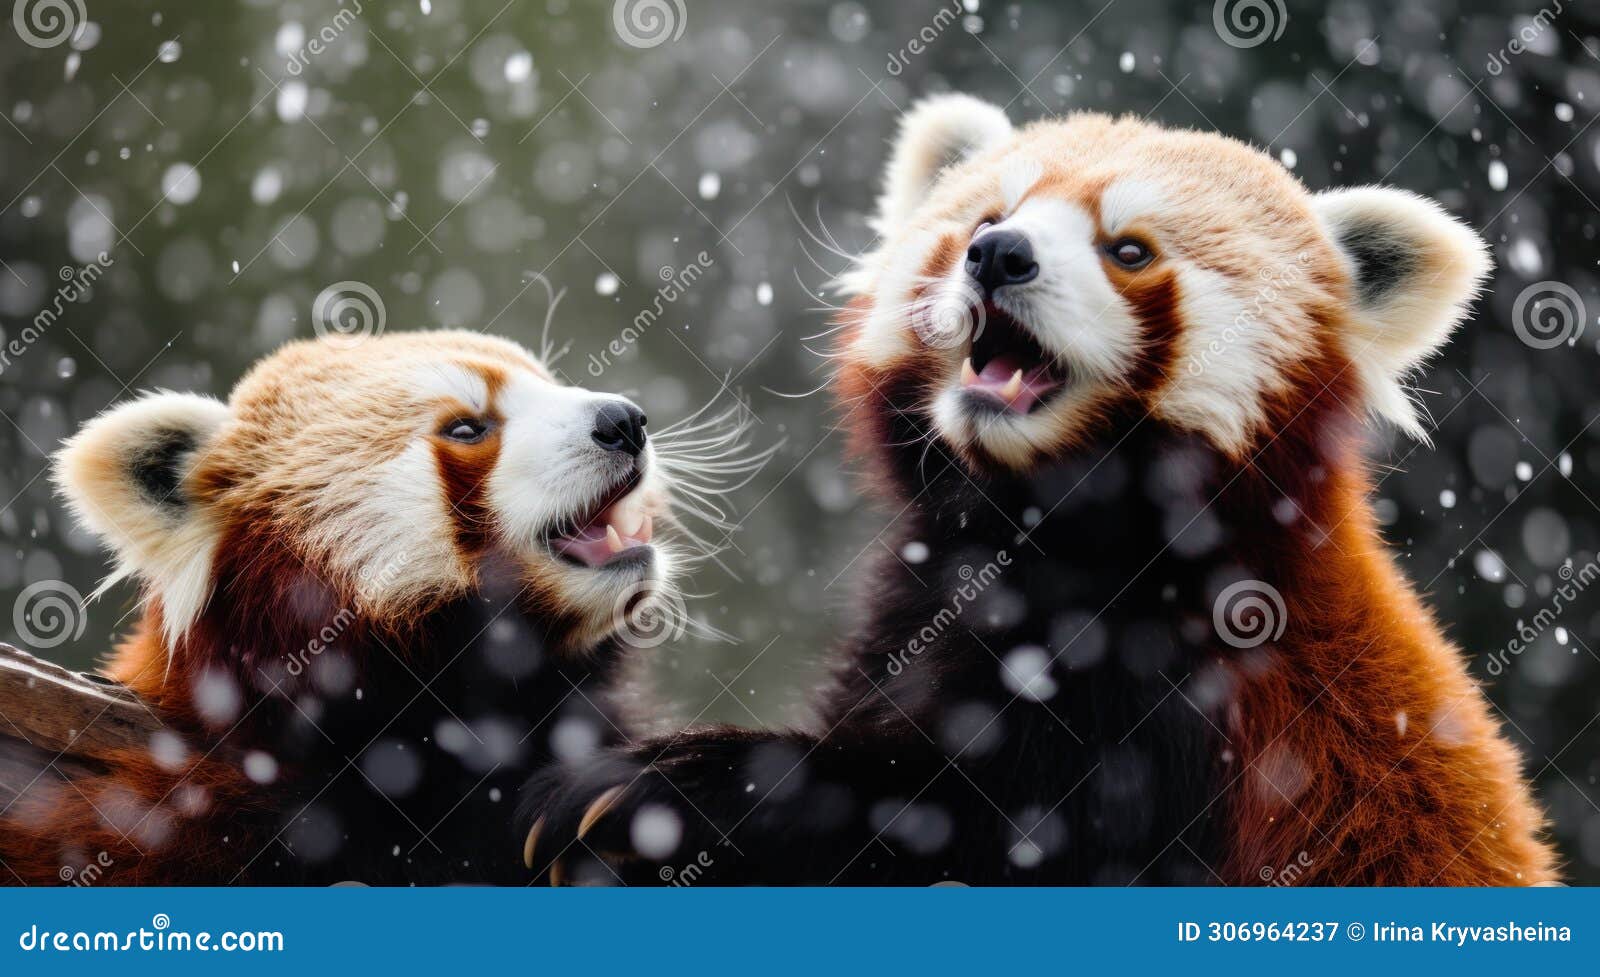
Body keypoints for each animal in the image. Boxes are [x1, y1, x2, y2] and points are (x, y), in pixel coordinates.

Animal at [522, 96, 1558, 886]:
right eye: (986, 221)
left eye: (1128, 250)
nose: (1000, 256)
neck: (1047, 538)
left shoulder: (1201, 719)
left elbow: (963, 822)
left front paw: (681, 792)